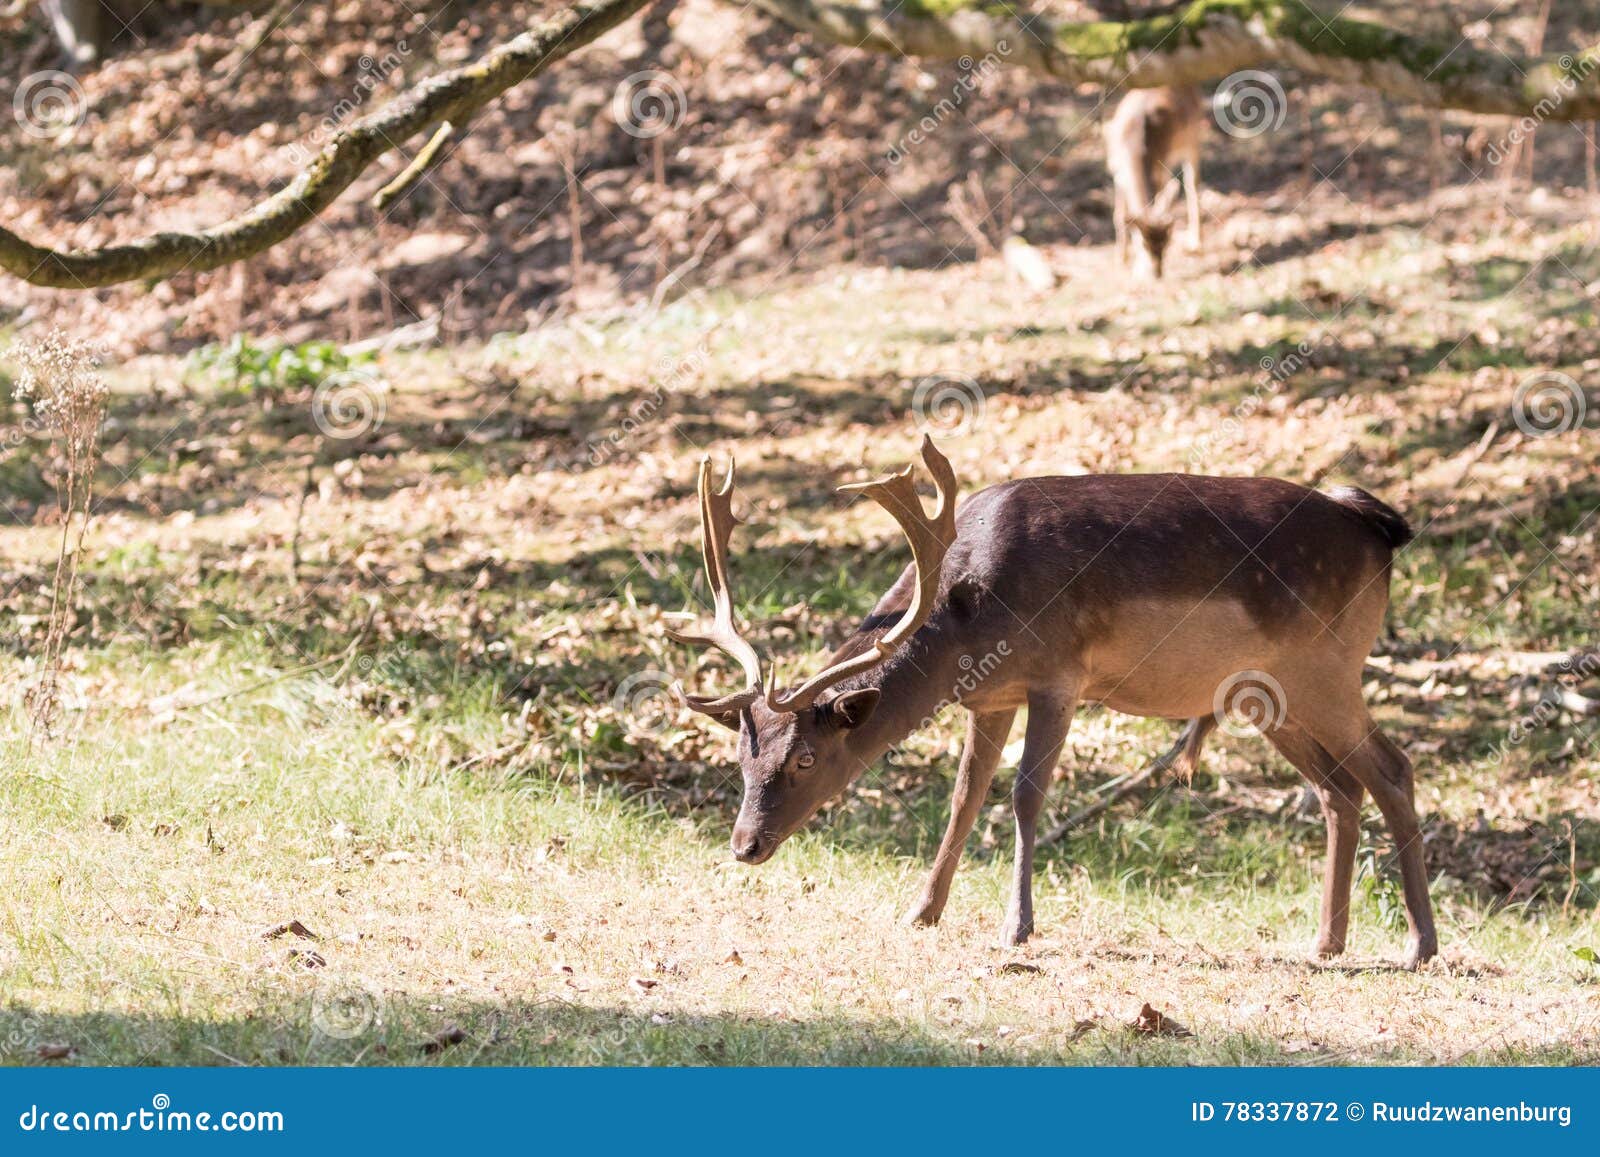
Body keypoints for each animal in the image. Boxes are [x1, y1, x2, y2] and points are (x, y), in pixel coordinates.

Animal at [663, 437, 1438, 970]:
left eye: (805, 758)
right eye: (740, 758)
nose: (745, 844)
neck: (966, 612)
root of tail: (1381, 530)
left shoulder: (1060, 675)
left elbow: (1025, 797)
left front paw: (1017, 927)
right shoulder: (990, 696)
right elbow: (963, 797)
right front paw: (921, 910)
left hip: (1326, 667)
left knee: (1393, 769)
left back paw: (1419, 945)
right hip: (1269, 695)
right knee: (1339, 787)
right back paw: (1327, 941)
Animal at [1105, 85, 1205, 279]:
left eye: (1168, 243)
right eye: (1143, 243)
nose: (1157, 273)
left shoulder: (1160, 167)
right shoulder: (1117, 172)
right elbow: (1118, 216)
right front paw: (1121, 260)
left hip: (1192, 141)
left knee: (1192, 185)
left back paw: (1195, 243)